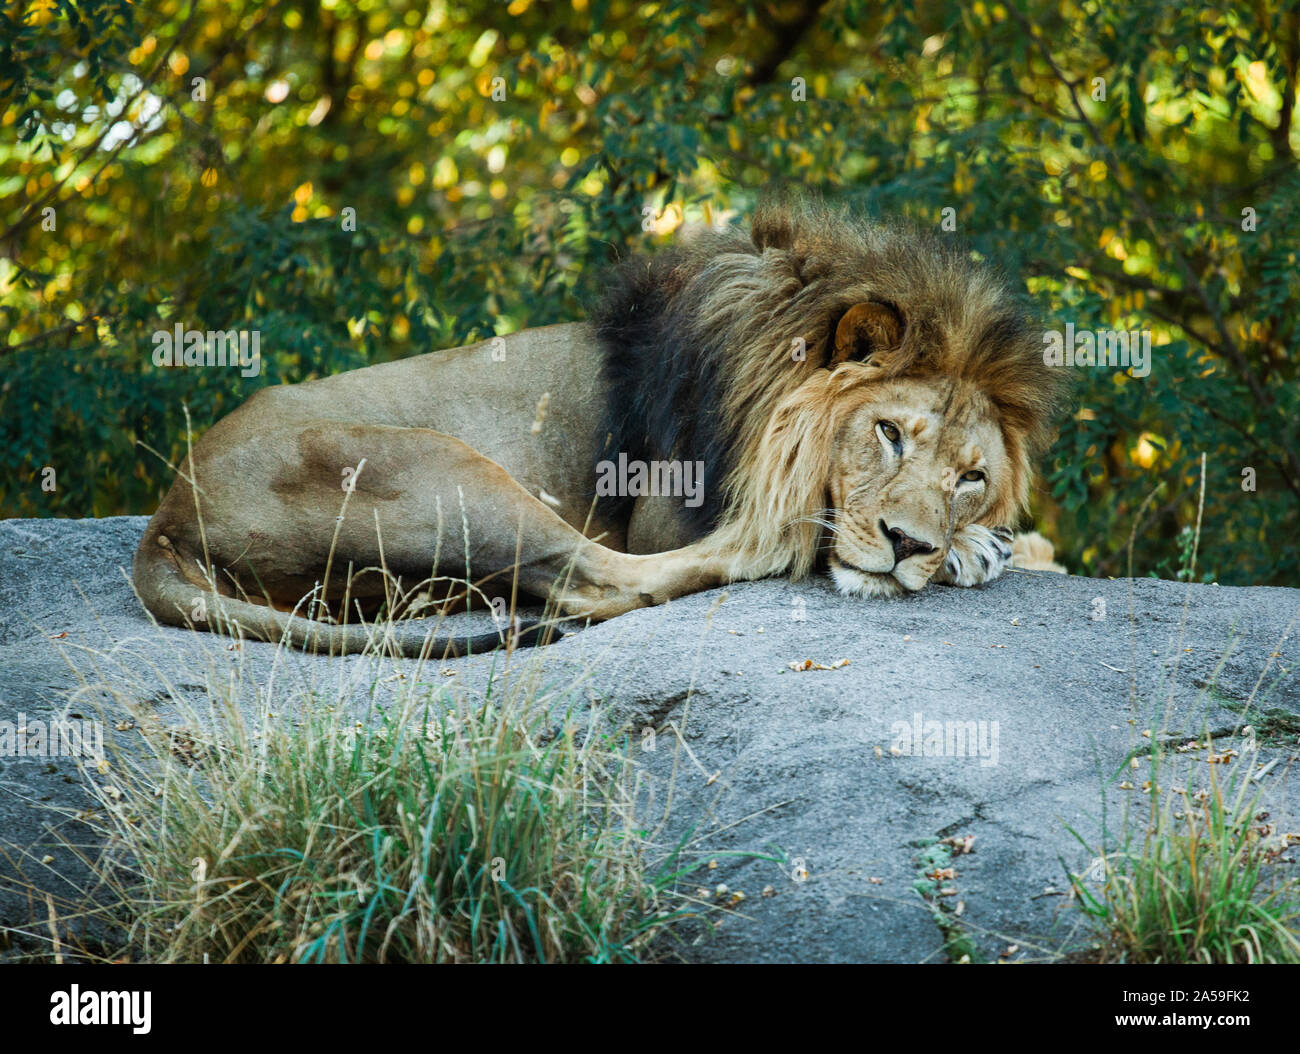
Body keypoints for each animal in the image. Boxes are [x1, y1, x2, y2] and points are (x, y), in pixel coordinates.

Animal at [133, 197, 1067, 655]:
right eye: (889, 433)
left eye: (971, 477)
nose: (912, 545)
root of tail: (163, 522)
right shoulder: (666, 511)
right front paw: (974, 551)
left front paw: (1007, 544)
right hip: (431, 466)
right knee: (607, 581)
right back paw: (781, 535)